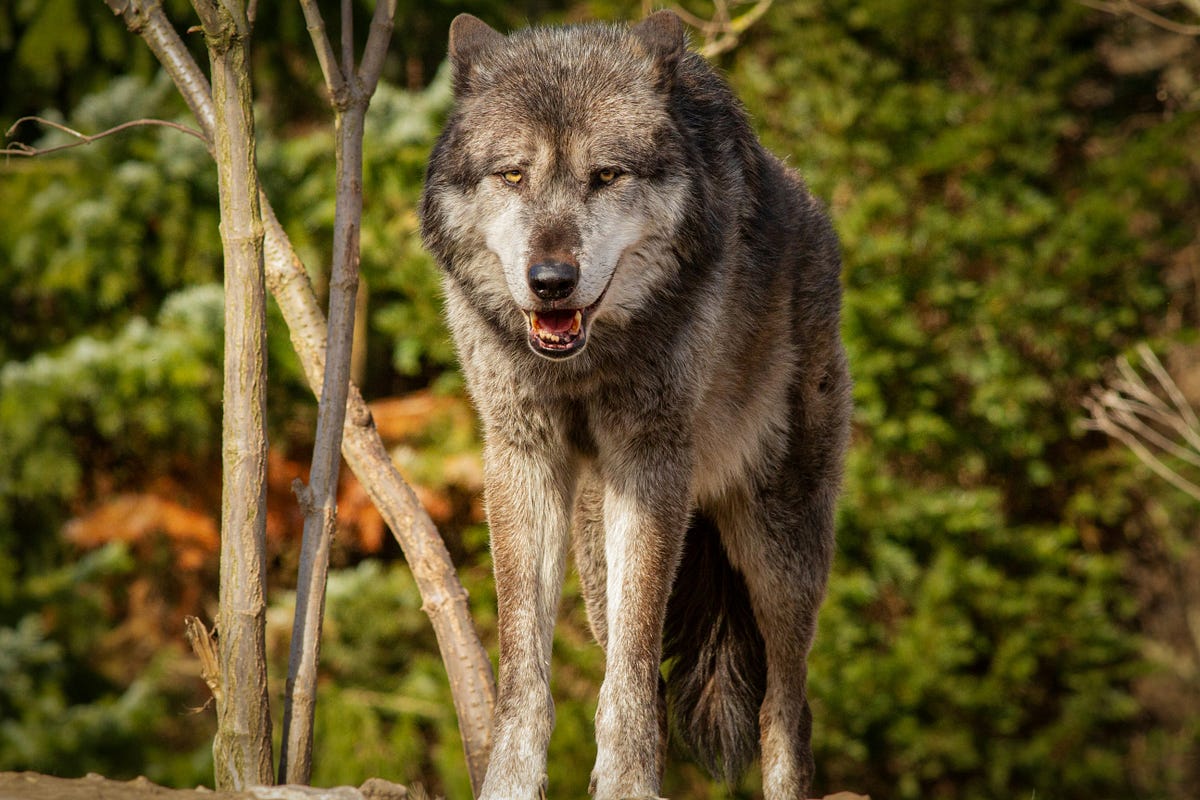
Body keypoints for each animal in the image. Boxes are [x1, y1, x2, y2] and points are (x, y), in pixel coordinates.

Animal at [419, 10, 850, 800]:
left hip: (778, 554)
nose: (551, 280)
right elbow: (527, 666)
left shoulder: (652, 461)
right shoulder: (521, 455)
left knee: (785, 710)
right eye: (514, 174)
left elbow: (630, 670)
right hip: (597, 558)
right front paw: (512, 780)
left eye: (607, 176)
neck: (584, 365)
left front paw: (626, 783)